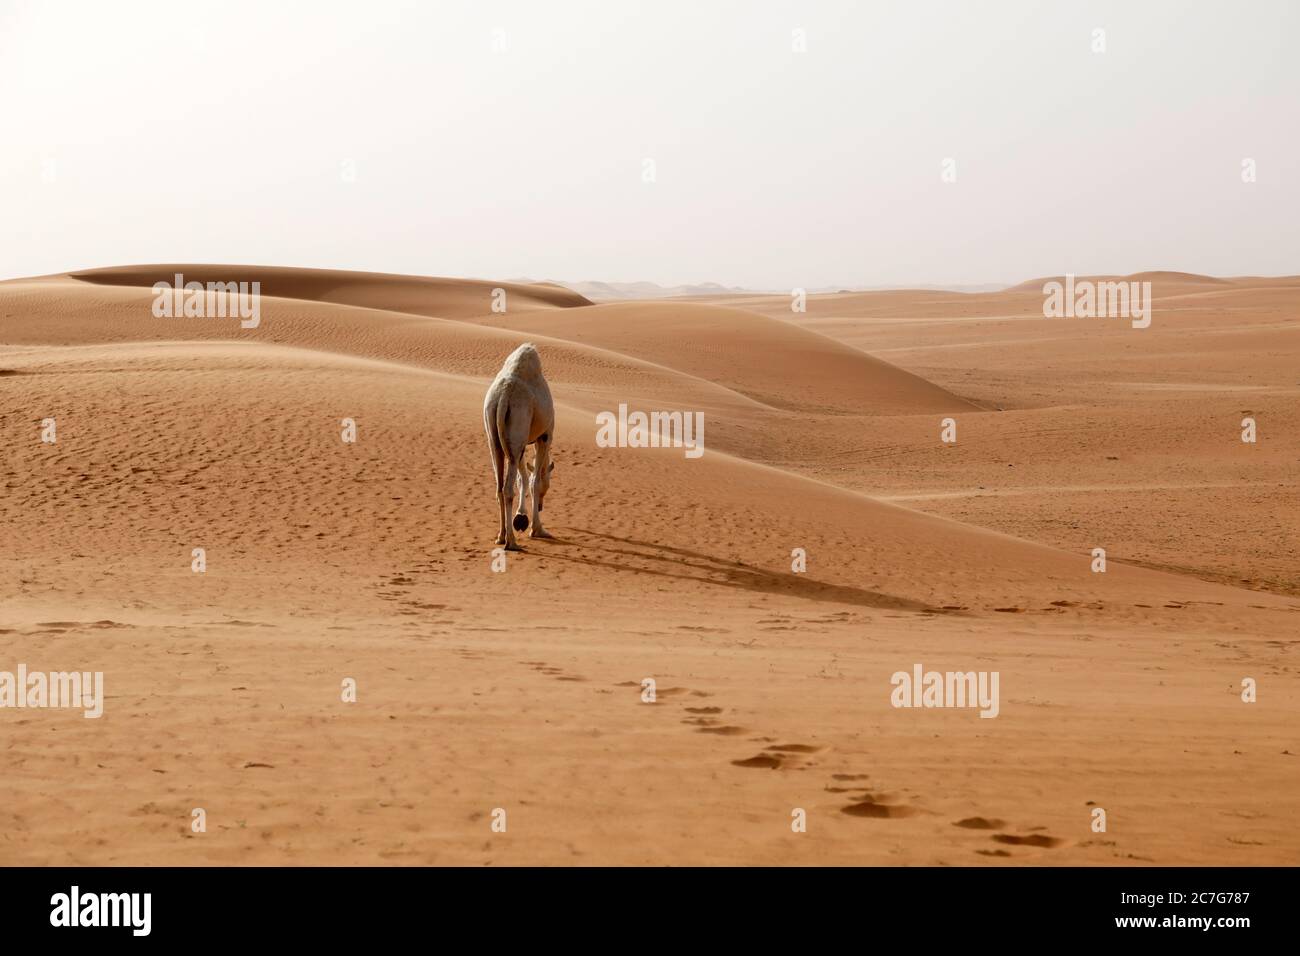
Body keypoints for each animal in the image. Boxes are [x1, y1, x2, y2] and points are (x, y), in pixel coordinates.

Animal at [483, 343, 555, 550]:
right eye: (548, 486)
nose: (541, 506)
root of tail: (504, 395)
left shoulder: (522, 443)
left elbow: (523, 478)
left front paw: (521, 517)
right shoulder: (545, 436)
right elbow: (534, 480)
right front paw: (537, 529)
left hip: (495, 437)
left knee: (499, 486)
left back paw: (501, 536)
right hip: (518, 425)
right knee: (507, 488)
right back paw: (511, 542)